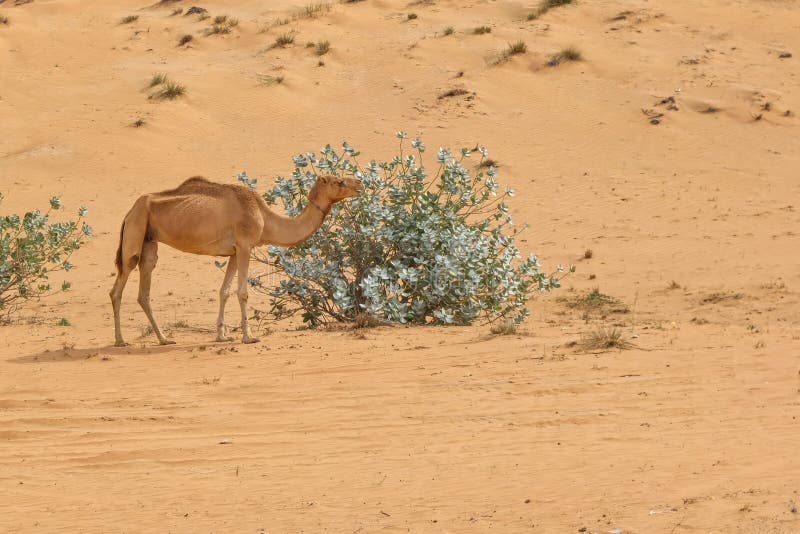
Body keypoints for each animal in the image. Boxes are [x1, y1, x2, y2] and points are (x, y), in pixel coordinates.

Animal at [110, 174, 362, 346]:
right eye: (339, 181)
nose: (359, 183)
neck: (265, 219)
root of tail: (128, 212)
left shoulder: (232, 252)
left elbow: (224, 291)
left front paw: (221, 335)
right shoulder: (245, 246)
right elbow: (242, 292)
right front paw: (249, 336)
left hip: (149, 241)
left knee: (143, 290)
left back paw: (163, 339)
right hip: (135, 232)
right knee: (118, 287)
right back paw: (121, 340)